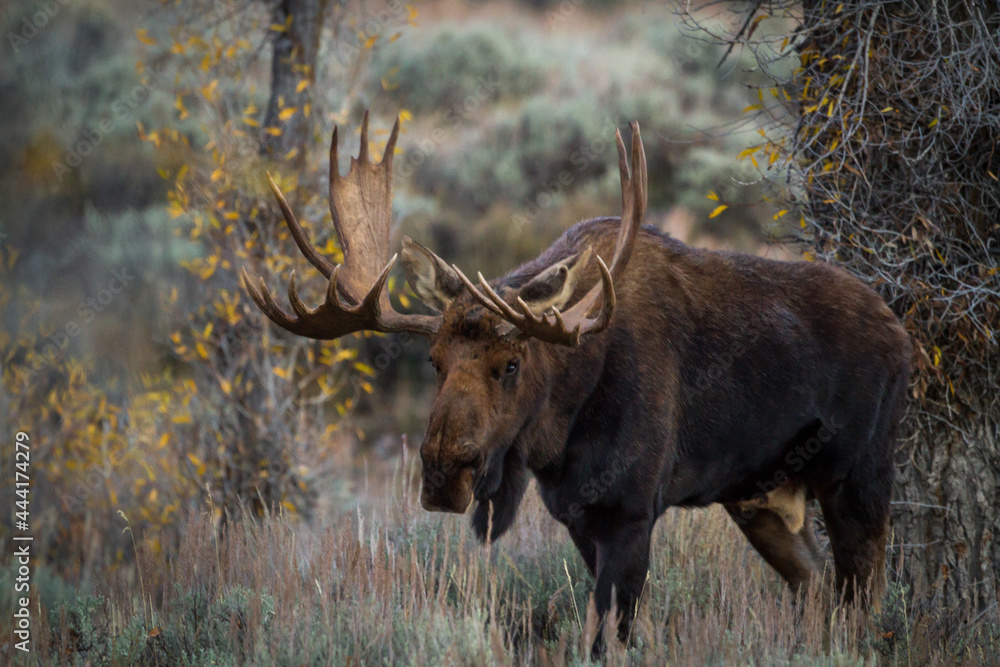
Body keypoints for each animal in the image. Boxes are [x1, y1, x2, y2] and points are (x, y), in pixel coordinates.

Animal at [242, 112, 912, 651]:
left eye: (511, 364)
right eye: (433, 360)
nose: (442, 474)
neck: (558, 434)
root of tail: (902, 332)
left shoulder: (630, 511)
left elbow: (610, 639)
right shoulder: (577, 517)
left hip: (859, 475)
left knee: (864, 596)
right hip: (760, 497)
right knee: (818, 589)